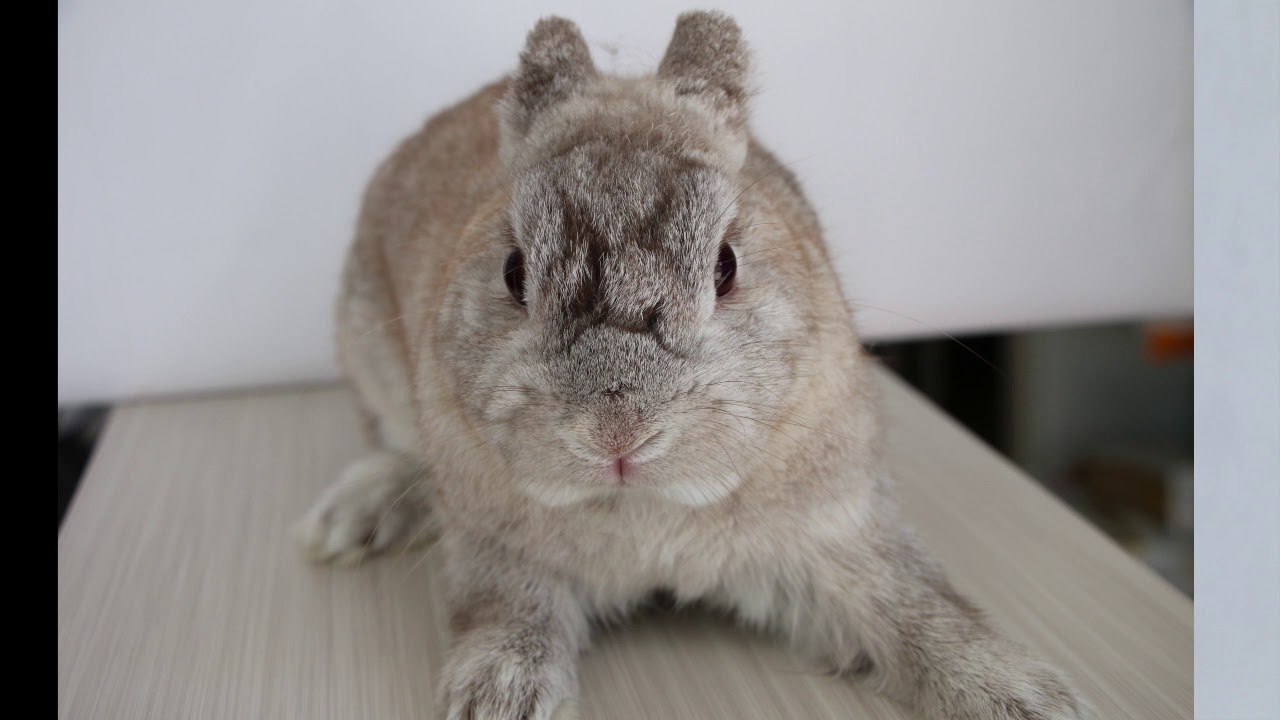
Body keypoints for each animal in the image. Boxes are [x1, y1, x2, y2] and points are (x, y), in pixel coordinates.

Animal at [295, 10, 1092, 720]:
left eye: (726, 266)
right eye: (515, 272)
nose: (617, 436)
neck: (647, 507)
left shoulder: (837, 531)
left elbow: (919, 609)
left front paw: (1025, 697)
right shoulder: (493, 549)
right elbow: (502, 611)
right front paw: (495, 697)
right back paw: (352, 518)